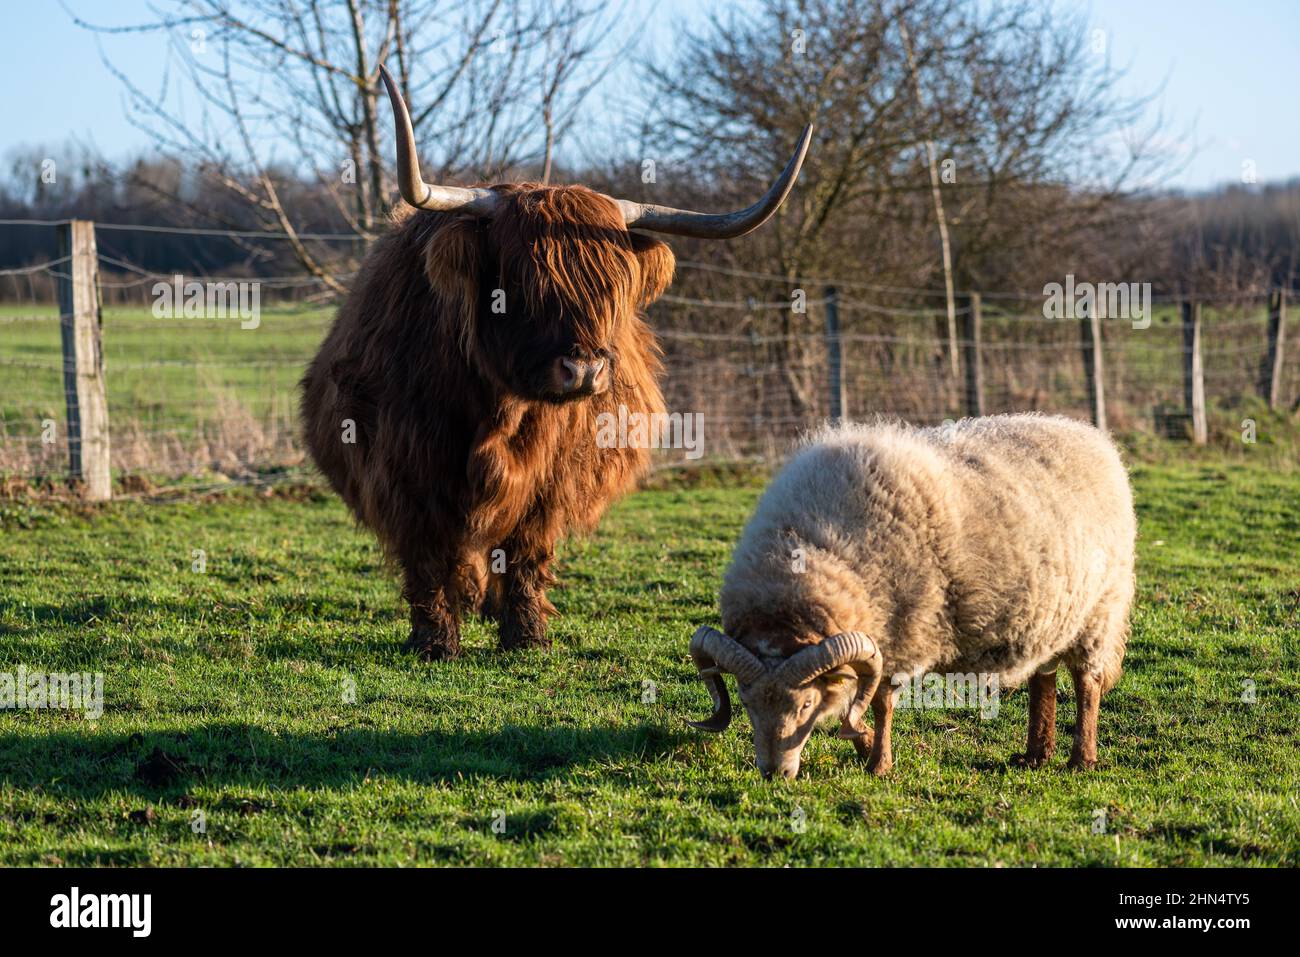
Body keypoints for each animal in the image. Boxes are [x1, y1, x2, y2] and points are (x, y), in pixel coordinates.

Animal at [685, 413, 1136, 780]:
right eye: (745, 702)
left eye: (804, 705)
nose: (773, 773)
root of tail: (1087, 434)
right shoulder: (873, 637)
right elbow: (857, 702)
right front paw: (863, 742)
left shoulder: (902, 633)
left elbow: (879, 702)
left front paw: (877, 763)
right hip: (1051, 615)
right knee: (1044, 676)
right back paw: (1035, 755)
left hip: (1099, 611)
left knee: (1087, 683)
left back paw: (1081, 759)